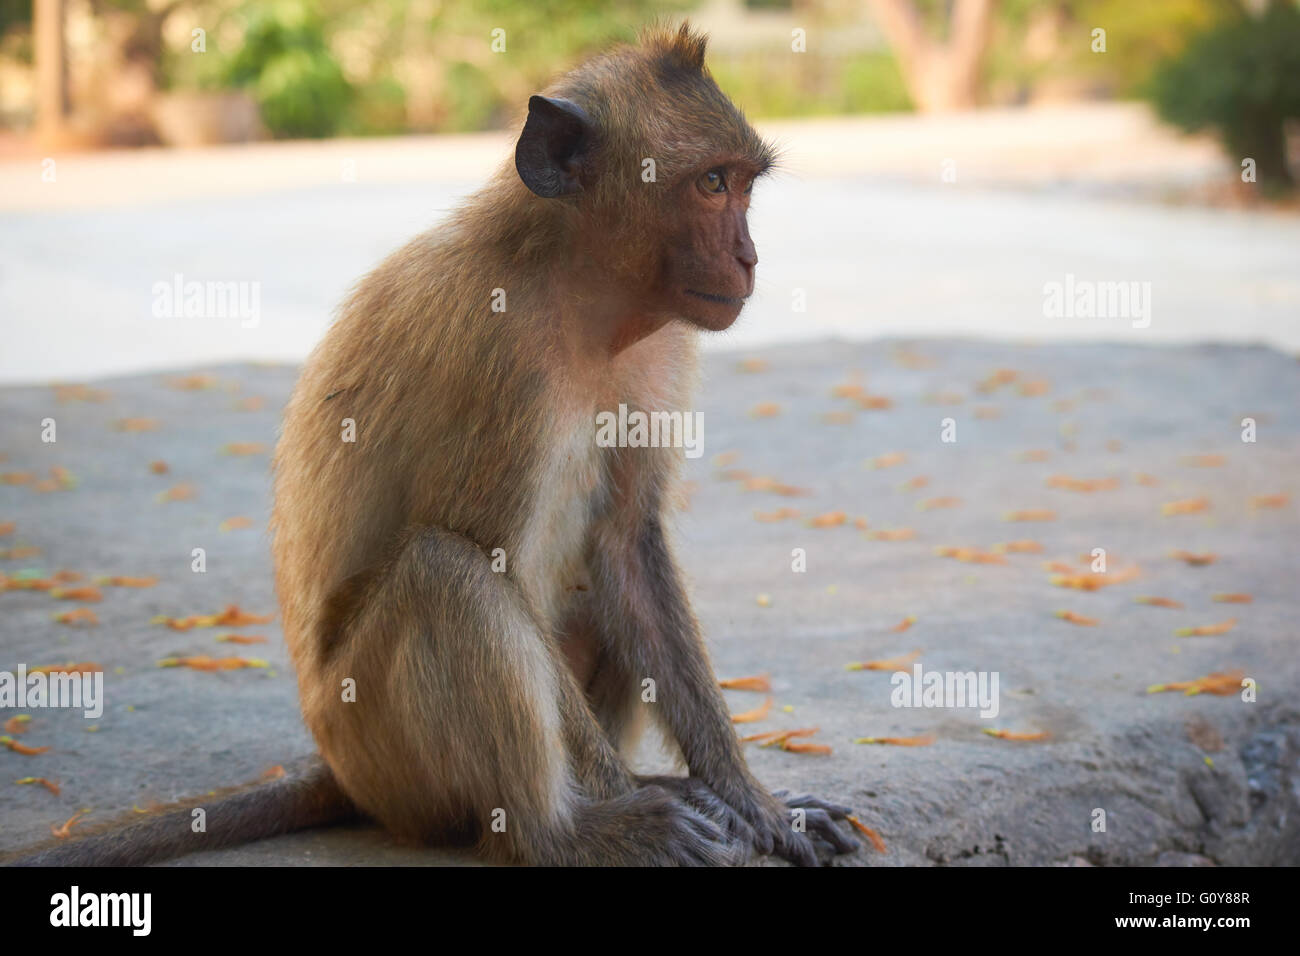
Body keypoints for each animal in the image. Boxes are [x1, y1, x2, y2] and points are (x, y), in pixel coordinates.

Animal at [4, 23, 860, 867]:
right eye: (711, 184)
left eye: (743, 184)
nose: (749, 258)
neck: (573, 285)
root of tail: (339, 770)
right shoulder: (500, 358)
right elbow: (492, 562)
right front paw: (642, 807)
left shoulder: (661, 348)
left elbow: (626, 548)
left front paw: (756, 805)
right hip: (386, 750)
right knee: (446, 570)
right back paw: (565, 831)